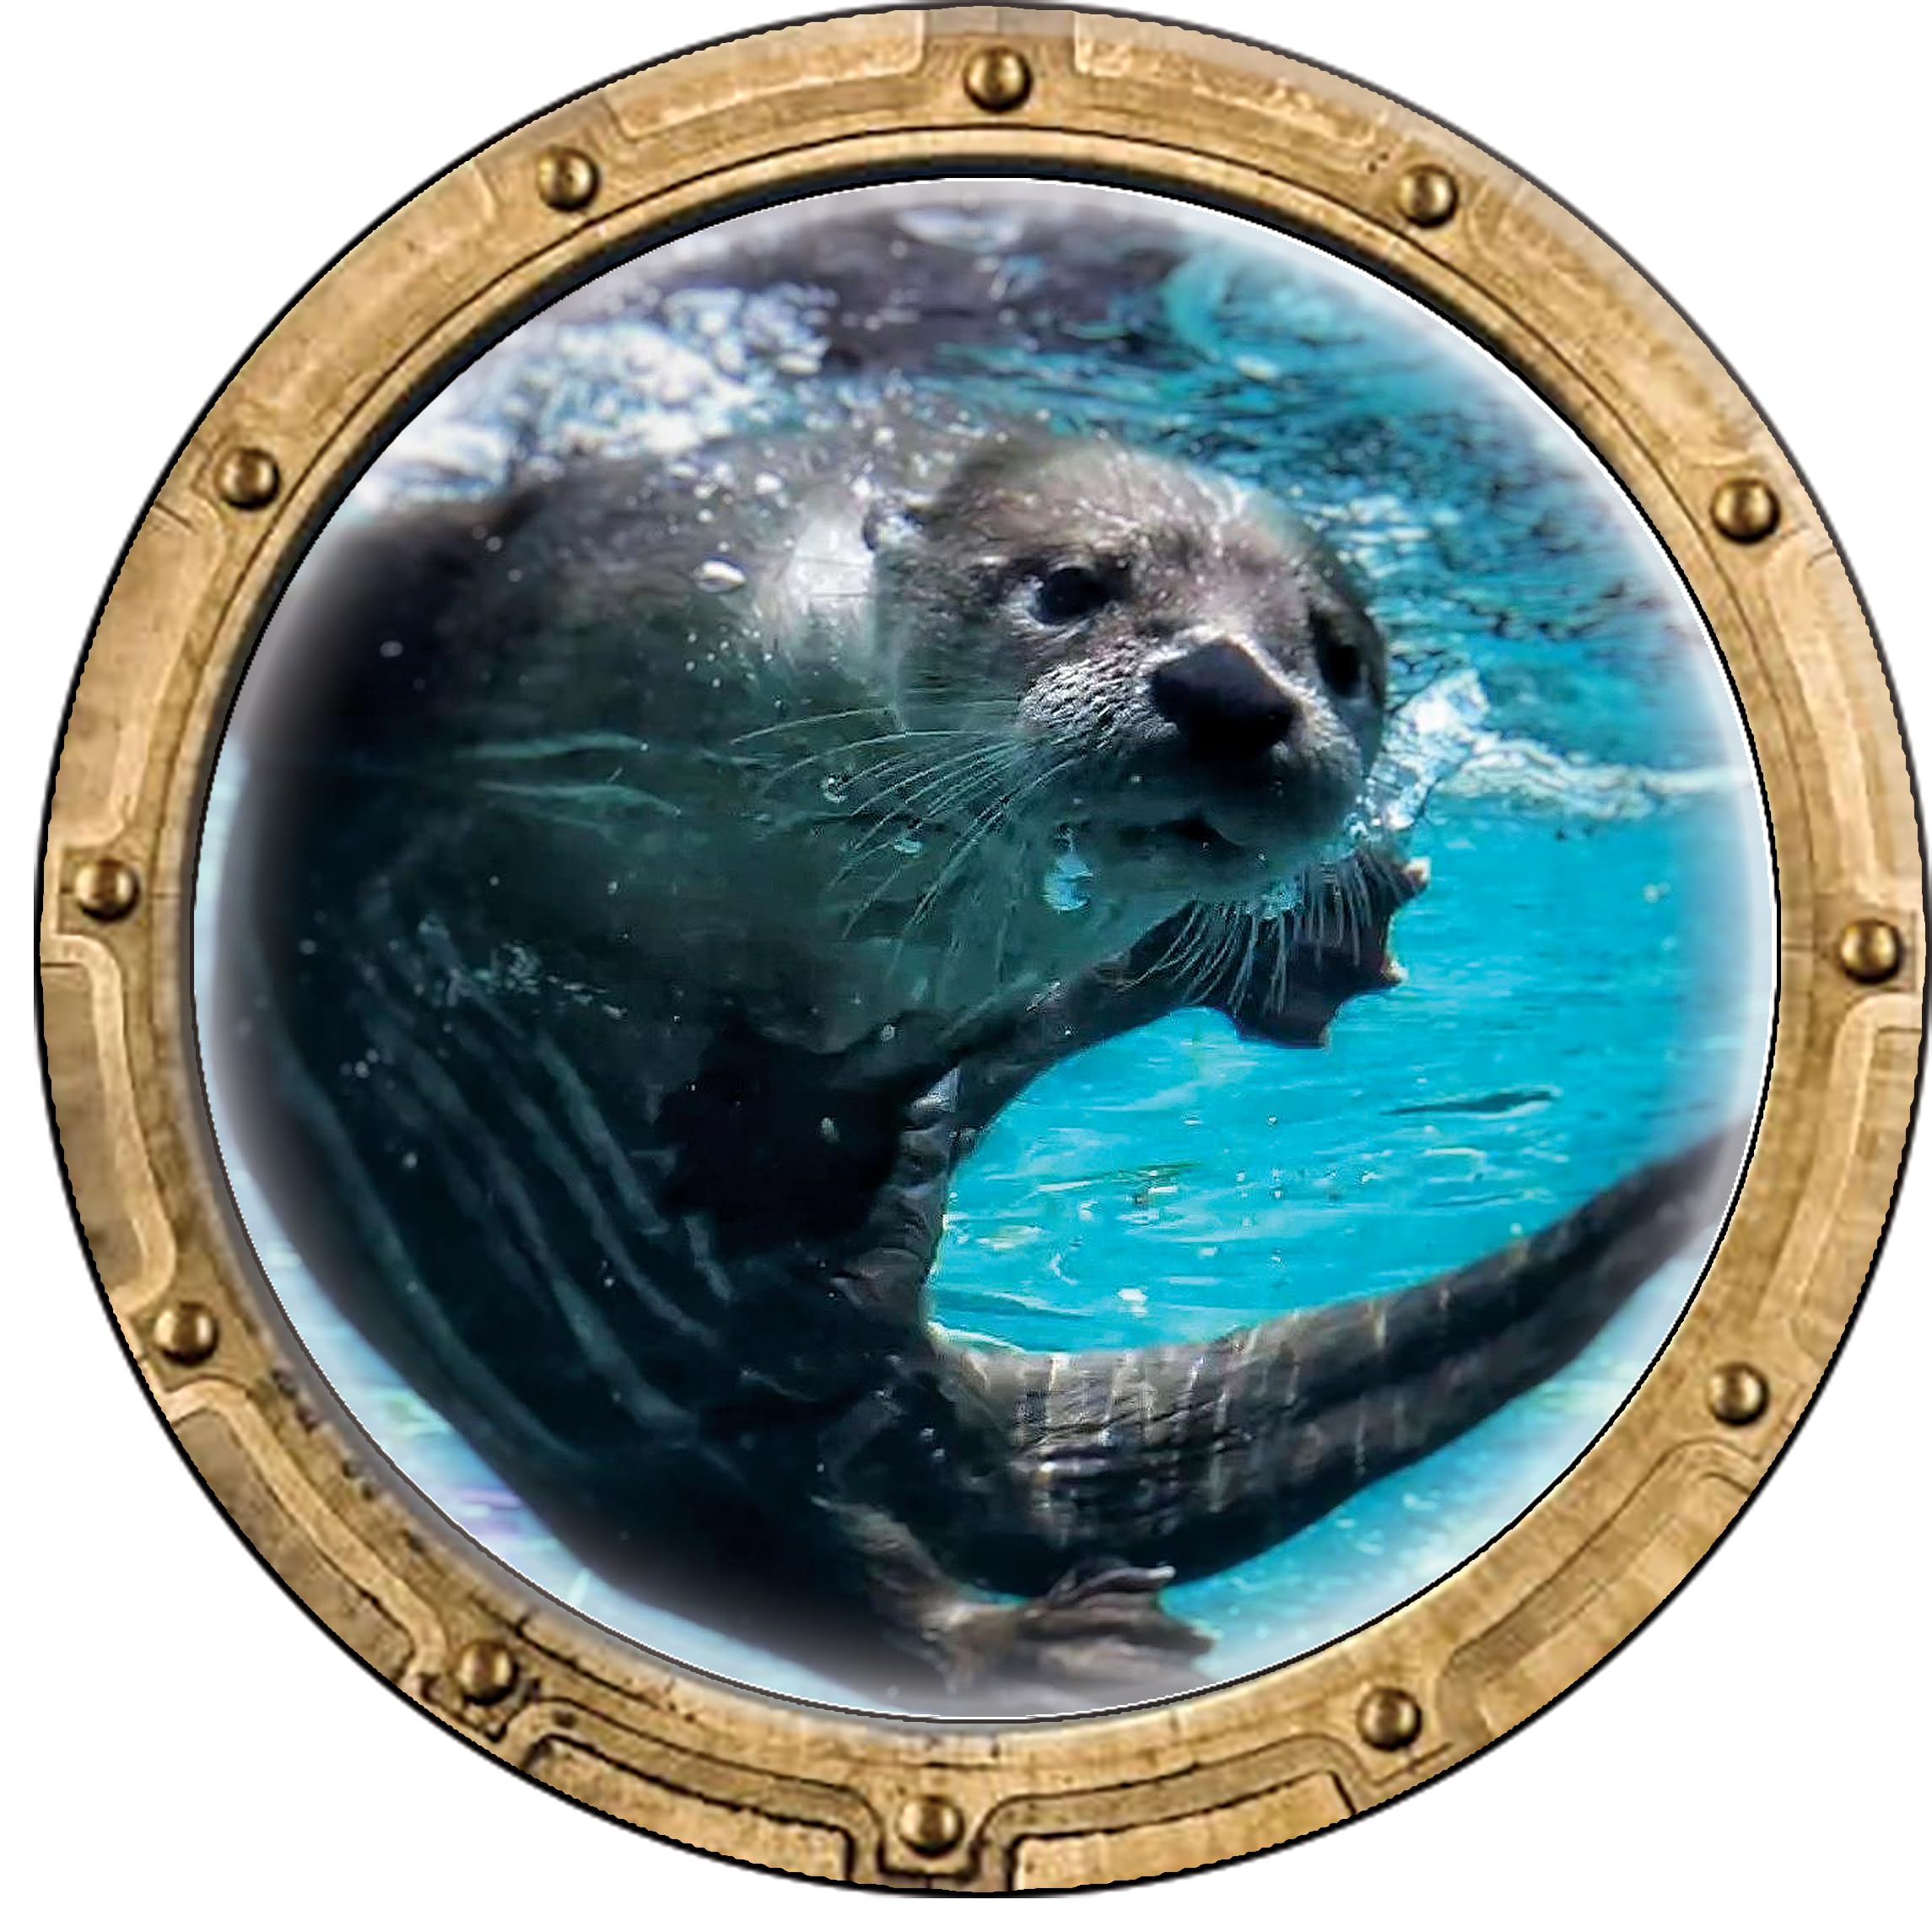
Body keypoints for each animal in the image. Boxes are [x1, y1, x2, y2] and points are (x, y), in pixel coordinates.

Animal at [211, 425, 1737, 1711]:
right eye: (1067, 585)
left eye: (1338, 652)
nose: (1230, 688)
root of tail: (911, 1367)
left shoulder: (957, 978)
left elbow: (928, 1046)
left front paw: (771, 1138)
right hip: (631, 1453)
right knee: (832, 1576)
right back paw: (1049, 1643)